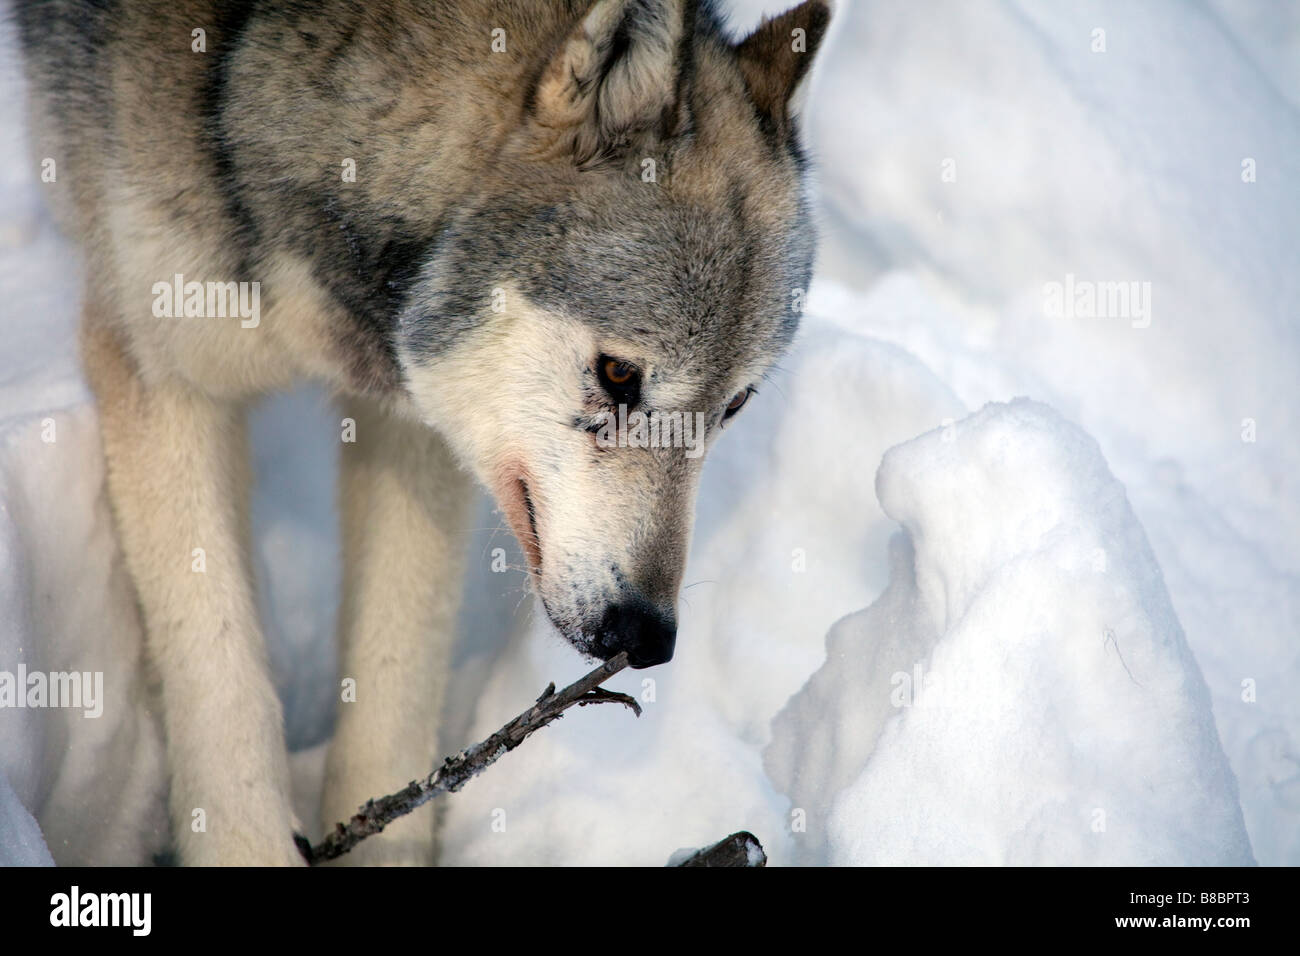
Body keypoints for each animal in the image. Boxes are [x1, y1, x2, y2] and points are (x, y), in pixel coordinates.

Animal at [16, 0, 831, 864]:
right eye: (618, 374)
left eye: (734, 407)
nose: (646, 635)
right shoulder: (164, 376)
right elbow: (219, 680)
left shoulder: (411, 423)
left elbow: (396, 682)